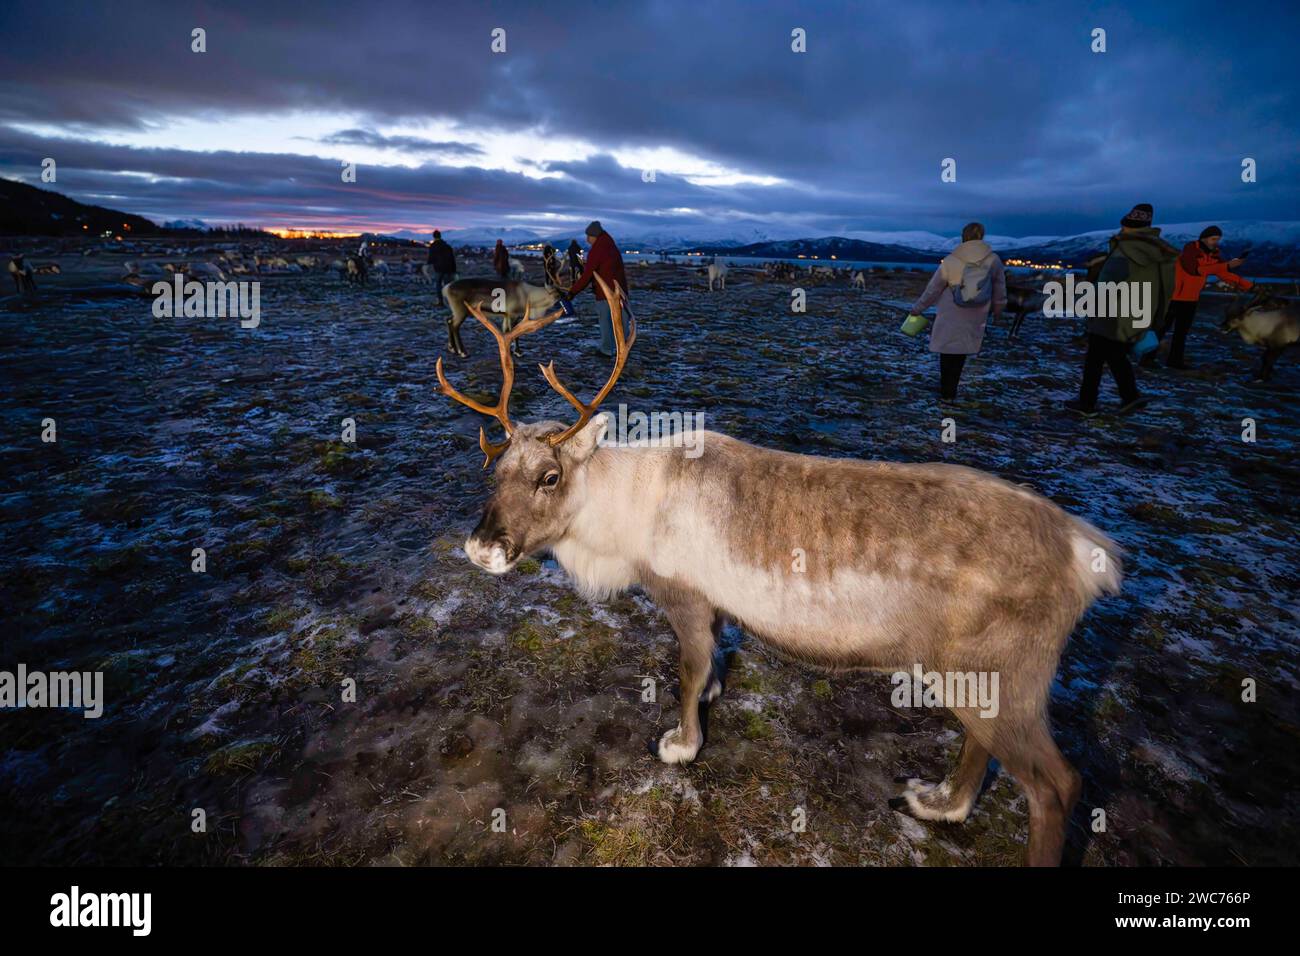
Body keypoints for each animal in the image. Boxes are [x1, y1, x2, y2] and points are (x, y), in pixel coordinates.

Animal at [436, 275, 1123, 866]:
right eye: (495, 471)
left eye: (549, 477)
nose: (480, 548)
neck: (625, 509)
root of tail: (1091, 554)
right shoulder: (714, 605)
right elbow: (713, 658)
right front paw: (714, 693)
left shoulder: (684, 594)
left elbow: (687, 670)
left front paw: (681, 743)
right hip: (979, 675)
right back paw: (940, 804)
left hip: (1006, 672)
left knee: (1056, 783)